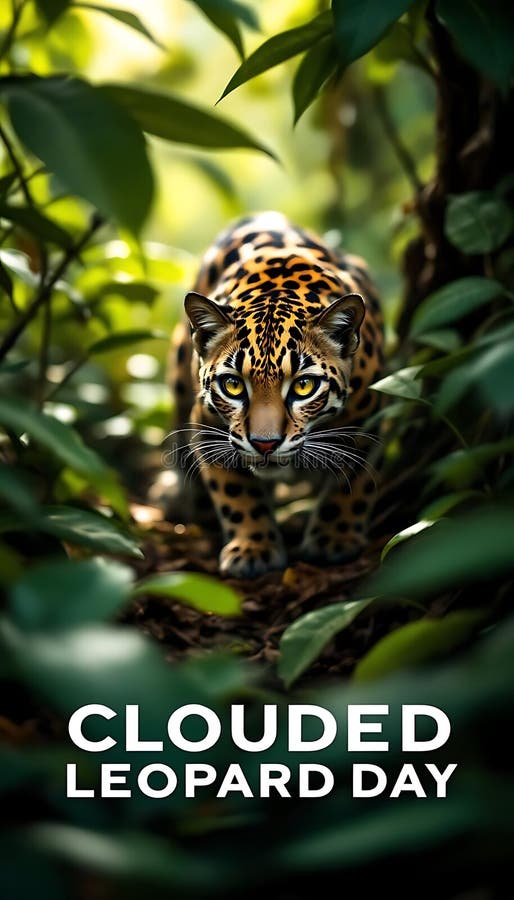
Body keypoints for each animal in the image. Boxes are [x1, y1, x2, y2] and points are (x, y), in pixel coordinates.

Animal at [167, 211, 385, 578]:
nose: (264, 444)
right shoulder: (205, 427)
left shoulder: (372, 418)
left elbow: (354, 482)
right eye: (233, 385)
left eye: (303, 386)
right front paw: (253, 548)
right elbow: (236, 491)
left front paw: (334, 538)